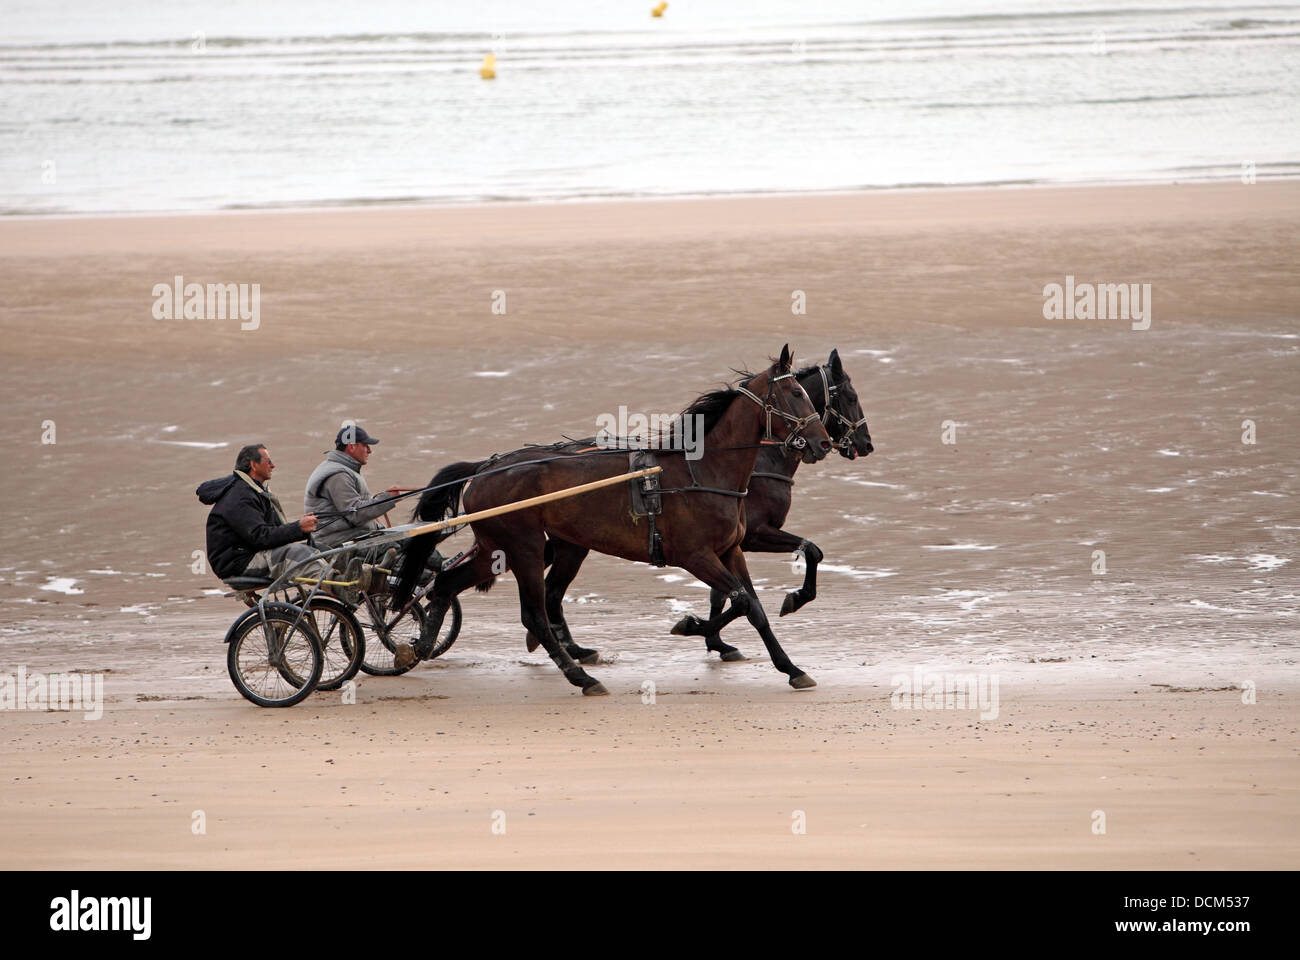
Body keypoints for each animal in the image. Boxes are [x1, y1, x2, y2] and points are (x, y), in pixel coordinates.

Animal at [391, 345, 832, 695]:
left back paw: (420, 645)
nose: (824, 442)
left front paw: (790, 667)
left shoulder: (730, 550)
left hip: (500, 549)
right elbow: (742, 601)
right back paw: (581, 677)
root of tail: (485, 468)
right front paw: (693, 625)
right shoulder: (695, 555)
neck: (704, 471)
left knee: (447, 584)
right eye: (796, 393)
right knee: (535, 613)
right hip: (523, 547)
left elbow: (754, 606)